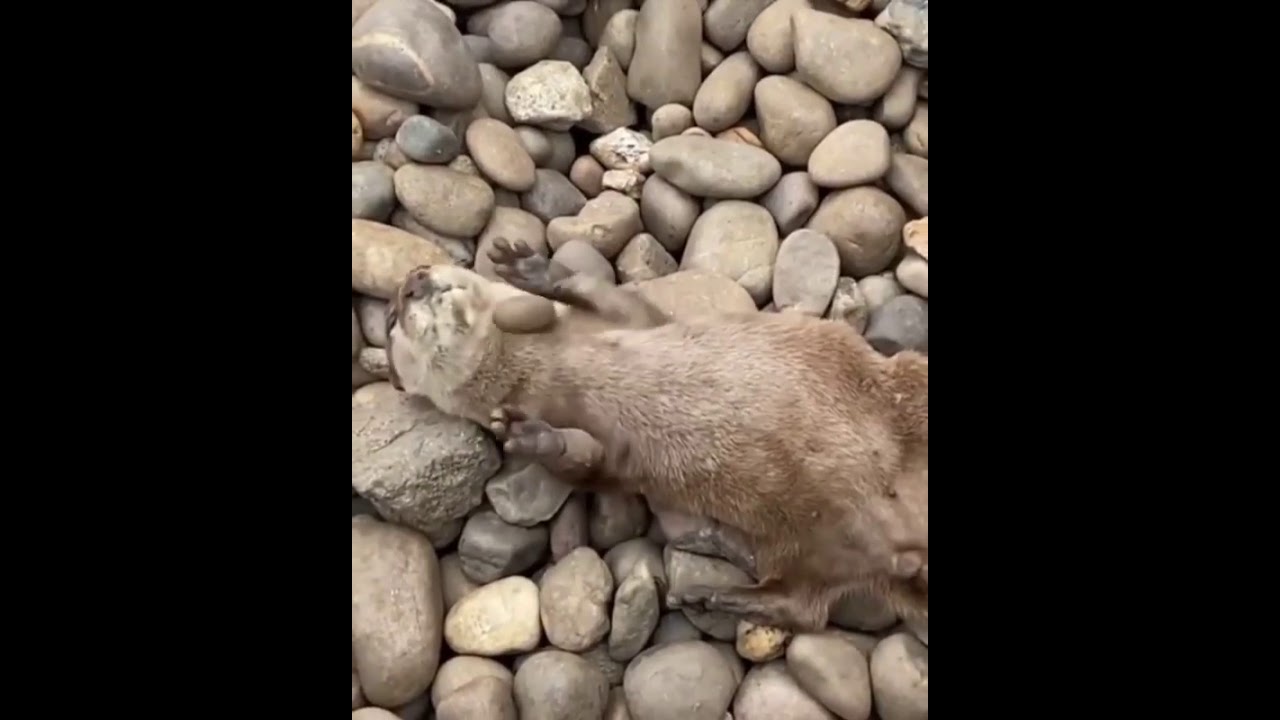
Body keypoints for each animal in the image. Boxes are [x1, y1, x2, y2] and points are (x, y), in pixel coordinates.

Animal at [385, 240, 928, 631]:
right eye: (393, 317)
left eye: (420, 271)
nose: (413, 282)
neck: (535, 365)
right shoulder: (602, 442)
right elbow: (591, 465)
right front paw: (529, 436)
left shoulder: (622, 325)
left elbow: (617, 298)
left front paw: (532, 268)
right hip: (816, 548)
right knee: (801, 604)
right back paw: (716, 592)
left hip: (900, 391)